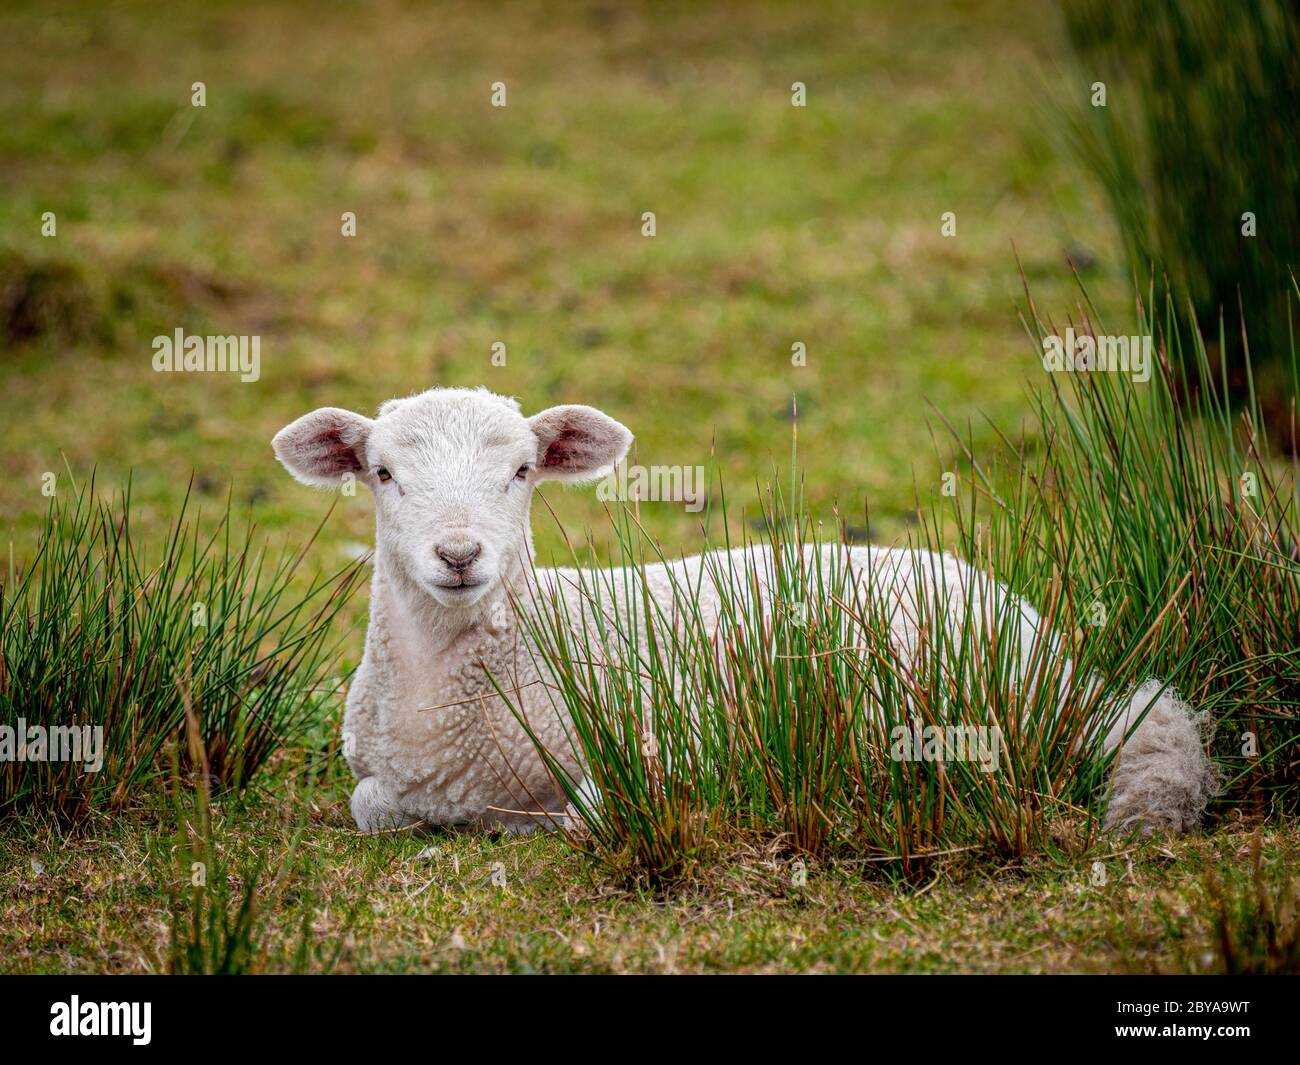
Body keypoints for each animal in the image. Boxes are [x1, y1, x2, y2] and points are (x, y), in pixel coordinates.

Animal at [272, 386, 1220, 836]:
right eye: (383, 473)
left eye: (522, 472)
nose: (460, 555)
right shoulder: (387, 782)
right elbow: (369, 805)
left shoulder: (675, 732)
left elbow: (591, 814)